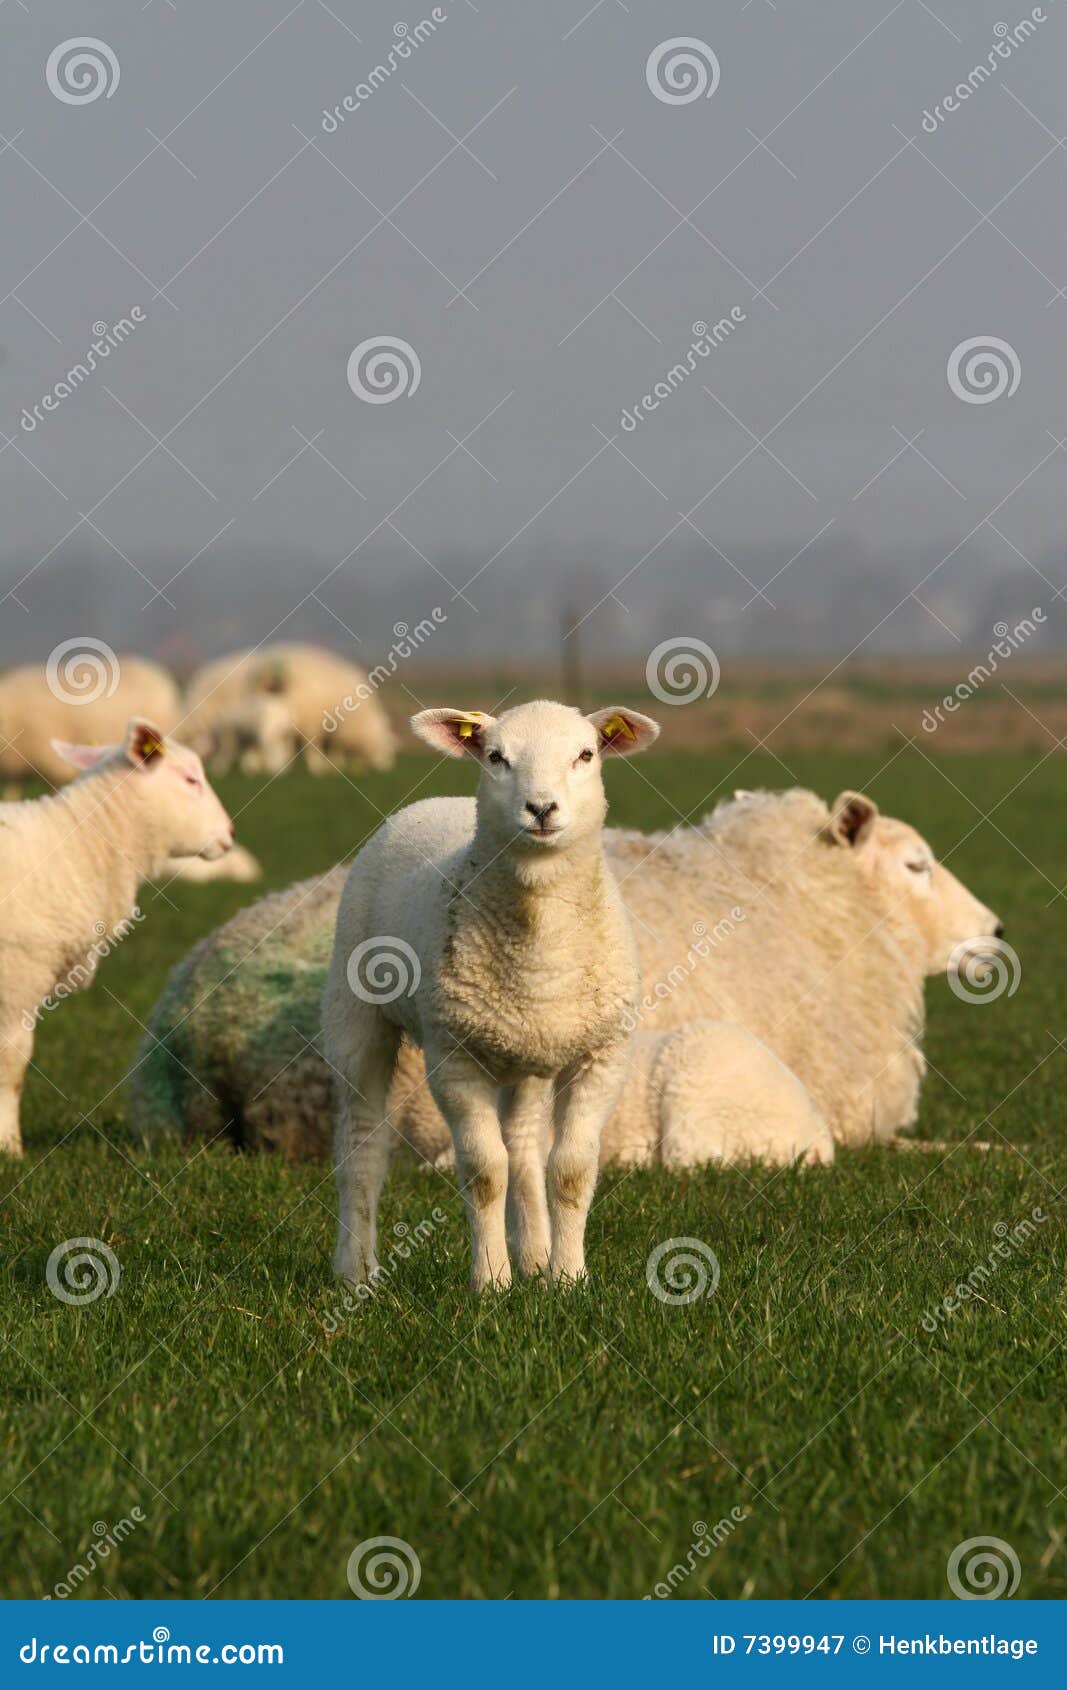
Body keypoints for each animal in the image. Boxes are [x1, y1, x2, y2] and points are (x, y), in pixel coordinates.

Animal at [0, 718, 235, 1158]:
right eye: (191, 779)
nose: (230, 832)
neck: (80, 847)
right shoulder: (18, 976)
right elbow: (13, 1064)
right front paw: (10, 1148)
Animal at [322, 700, 660, 1291]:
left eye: (586, 754)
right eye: (497, 757)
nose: (541, 808)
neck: (541, 942)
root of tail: (433, 803)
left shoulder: (603, 1054)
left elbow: (571, 1169)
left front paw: (567, 1278)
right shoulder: (453, 1057)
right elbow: (484, 1171)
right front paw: (491, 1283)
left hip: (525, 1053)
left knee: (523, 1144)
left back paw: (535, 1256)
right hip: (356, 1017)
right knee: (361, 1144)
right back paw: (358, 1271)